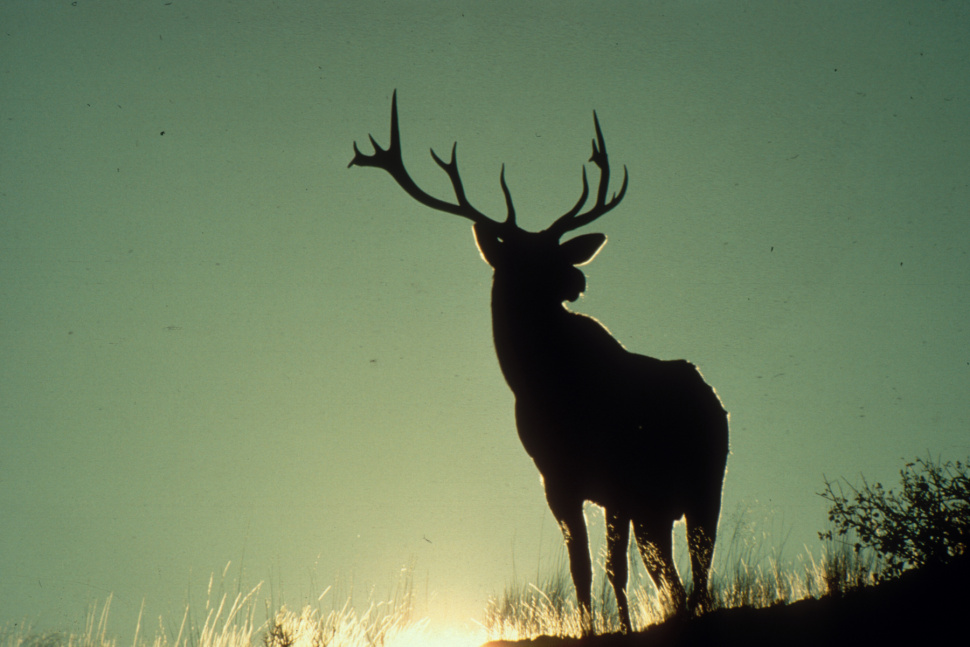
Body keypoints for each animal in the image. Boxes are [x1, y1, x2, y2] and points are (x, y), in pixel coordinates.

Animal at [349, 91, 729, 634]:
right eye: (525, 259)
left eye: (560, 252)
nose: (578, 280)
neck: (544, 387)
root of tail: (713, 397)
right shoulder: (556, 479)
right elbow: (582, 568)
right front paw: (591, 628)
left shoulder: (617, 477)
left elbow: (612, 569)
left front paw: (621, 628)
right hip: (657, 507)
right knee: (671, 576)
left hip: (704, 485)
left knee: (699, 569)